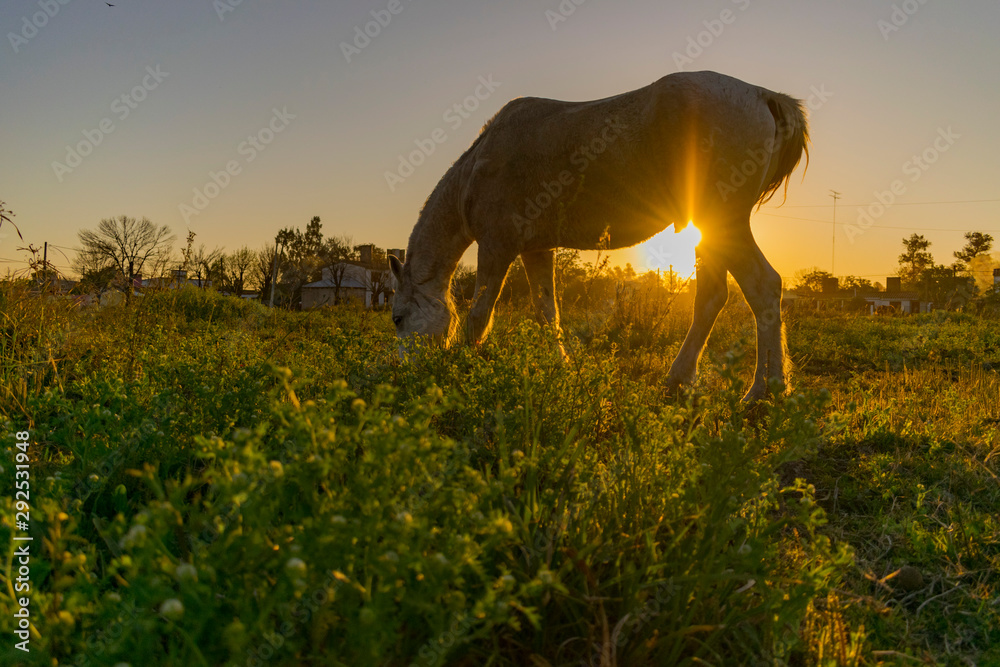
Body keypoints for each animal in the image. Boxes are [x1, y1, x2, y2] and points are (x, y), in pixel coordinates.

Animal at [389, 70, 809, 401]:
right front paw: (560, 366)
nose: (402, 373)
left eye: (397, 318)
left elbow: (479, 316)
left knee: (762, 287)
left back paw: (763, 391)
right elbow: (548, 313)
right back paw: (682, 381)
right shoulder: (536, 250)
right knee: (713, 297)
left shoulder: (496, 247)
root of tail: (763, 95)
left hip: (725, 221)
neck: (477, 165)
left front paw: (461, 368)